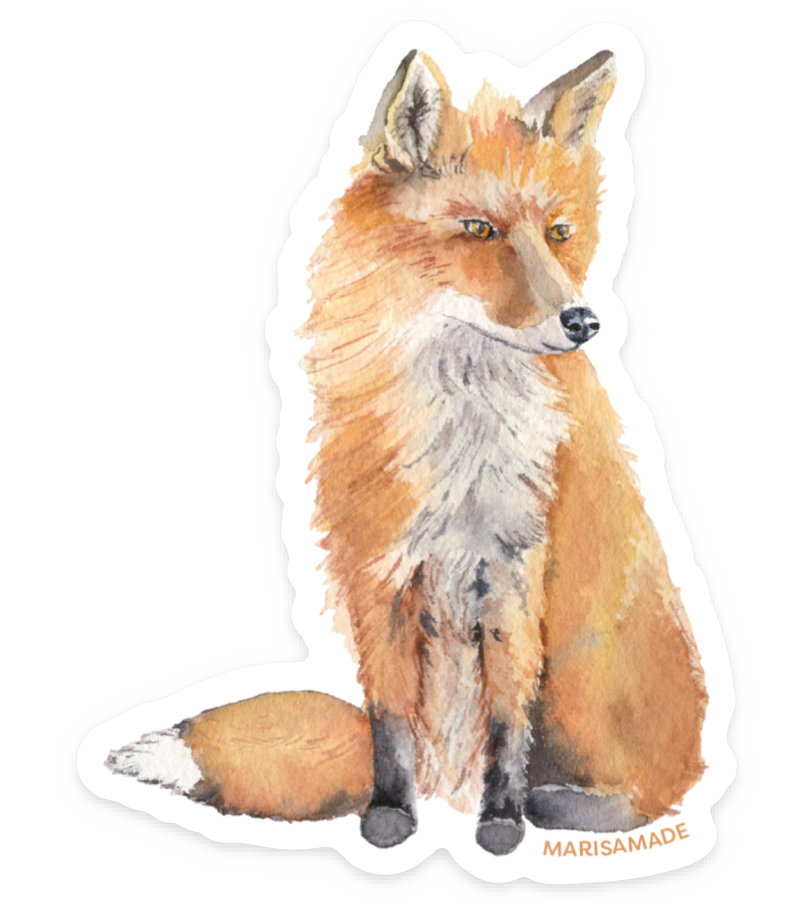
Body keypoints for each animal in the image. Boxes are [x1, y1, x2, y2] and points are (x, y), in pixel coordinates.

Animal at [107, 48, 707, 857]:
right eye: (479, 229)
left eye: (559, 232)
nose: (583, 321)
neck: (461, 435)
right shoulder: (378, 572)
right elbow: (387, 720)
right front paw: (389, 817)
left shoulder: (514, 574)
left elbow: (507, 722)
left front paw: (501, 823)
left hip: (597, 690)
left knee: (644, 793)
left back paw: (562, 805)